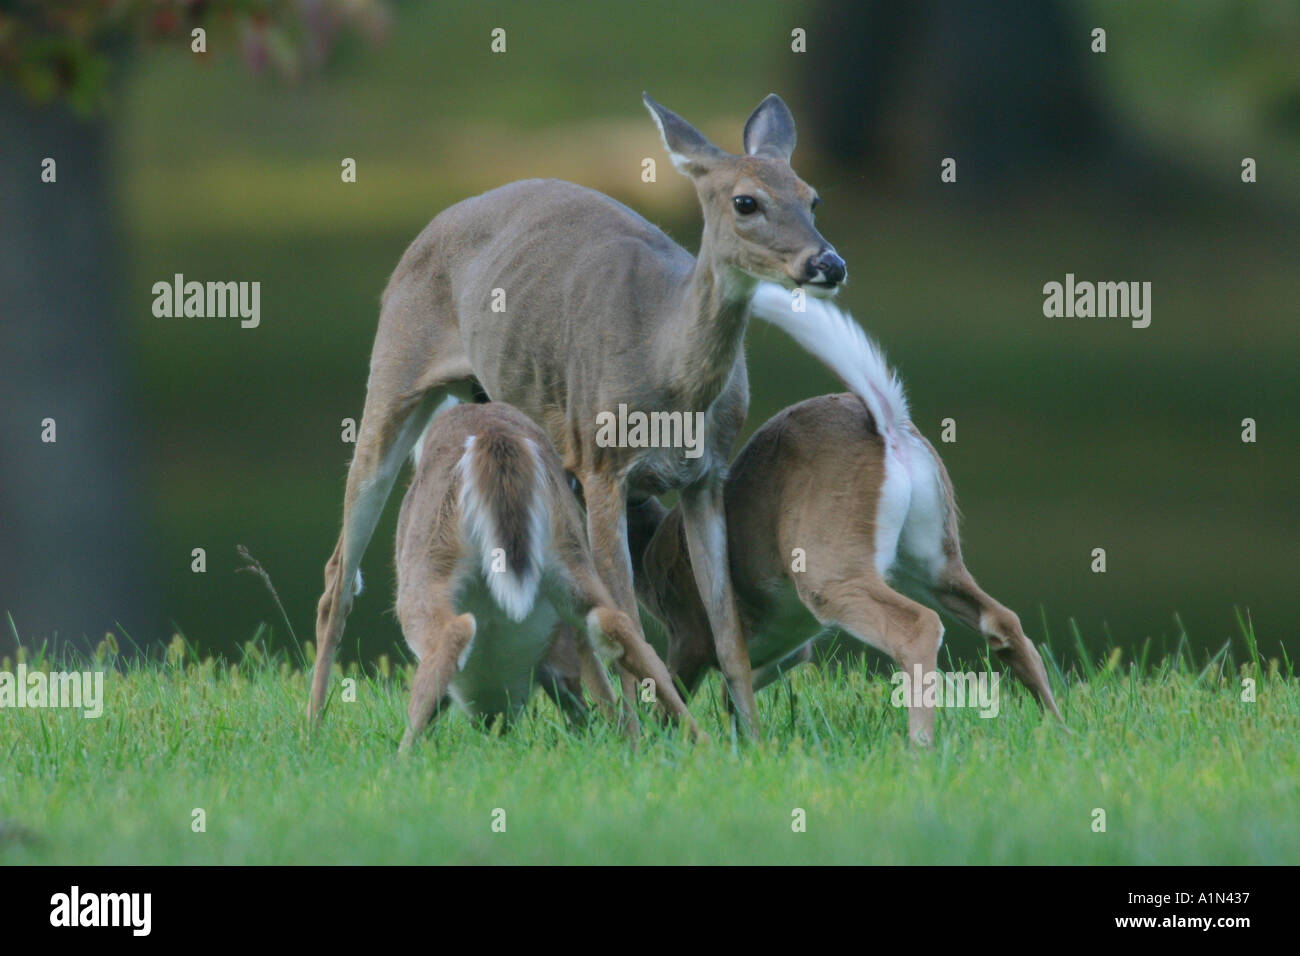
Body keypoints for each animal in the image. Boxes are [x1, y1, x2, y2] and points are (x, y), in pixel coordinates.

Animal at [391, 399, 701, 751]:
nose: (491, 721)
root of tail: (495, 435)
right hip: (569, 552)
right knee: (622, 626)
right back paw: (694, 740)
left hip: (428, 563)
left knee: (451, 632)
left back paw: (402, 755)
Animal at [627, 285, 1065, 745]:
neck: (646, 552)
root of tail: (889, 423)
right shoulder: (785, 648)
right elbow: (740, 686)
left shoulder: (689, 633)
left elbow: (670, 691)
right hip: (930, 556)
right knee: (1003, 620)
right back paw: (1059, 728)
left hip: (827, 564)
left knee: (917, 626)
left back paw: (919, 745)